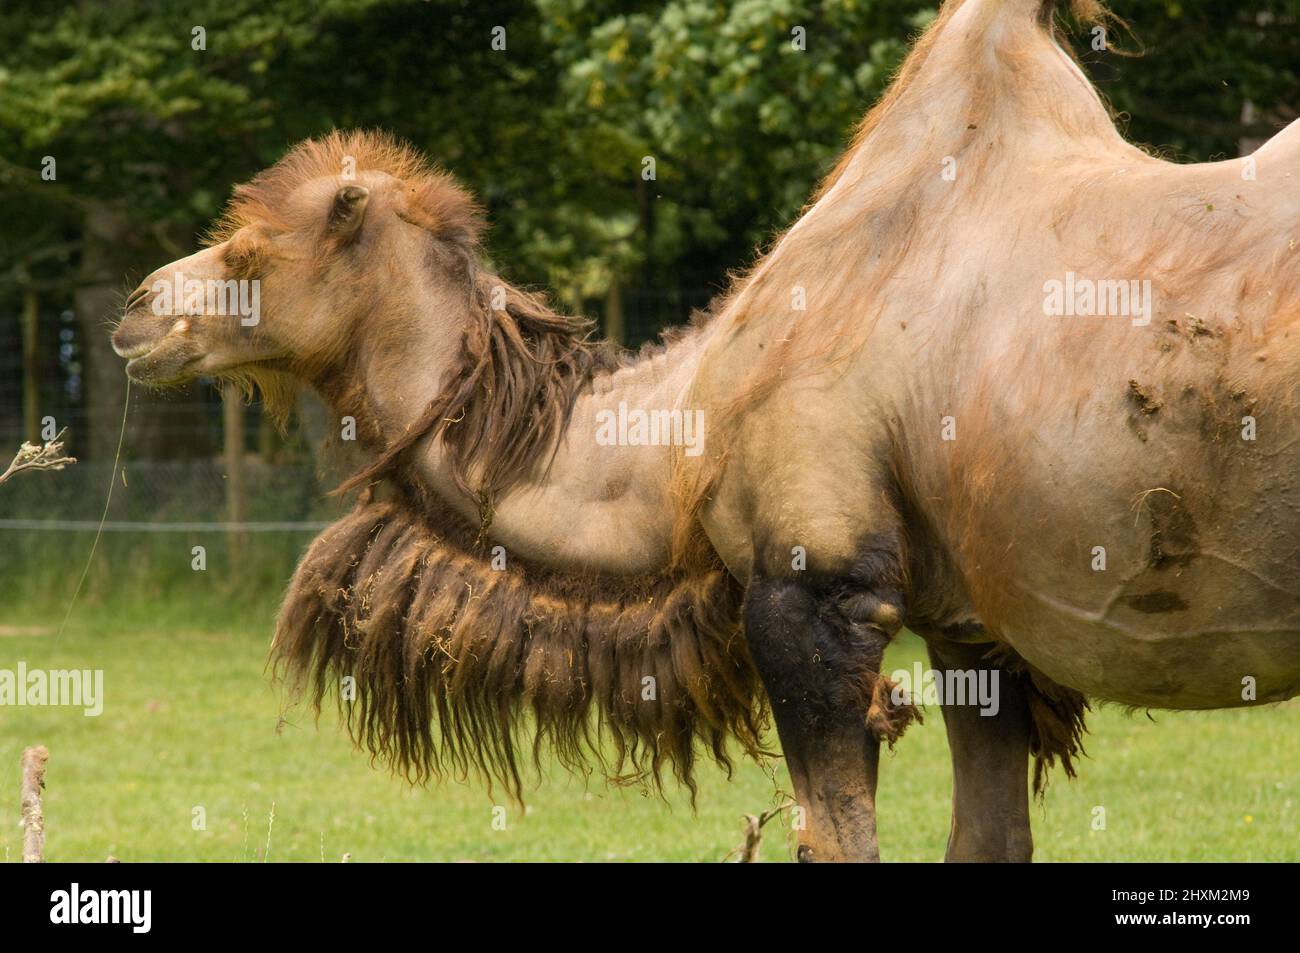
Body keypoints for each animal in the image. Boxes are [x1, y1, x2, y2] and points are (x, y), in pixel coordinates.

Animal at [112, 0, 1300, 862]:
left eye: (250, 253)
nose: (135, 312)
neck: (678, 438)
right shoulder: (975, 627)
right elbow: (987, 839)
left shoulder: (813, 583)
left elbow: (834, 840)